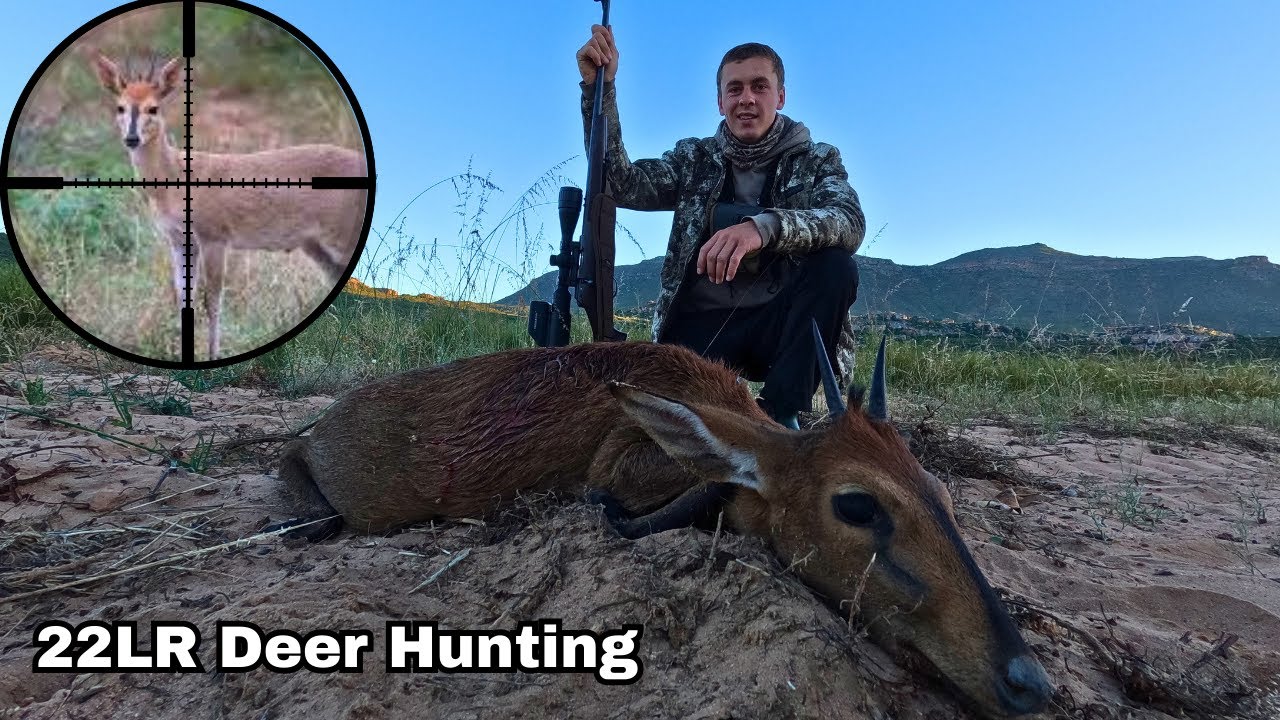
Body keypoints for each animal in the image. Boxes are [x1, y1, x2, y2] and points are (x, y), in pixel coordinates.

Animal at [91, 55, 367, 360]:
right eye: (120, 106)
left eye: (154, 107)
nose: (132, 139)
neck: (174, 182)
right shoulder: (178, 240)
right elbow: (183, 297)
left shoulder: (214, 235)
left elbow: (213, 301)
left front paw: (213, 357)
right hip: (316, 245)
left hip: (343, 232)